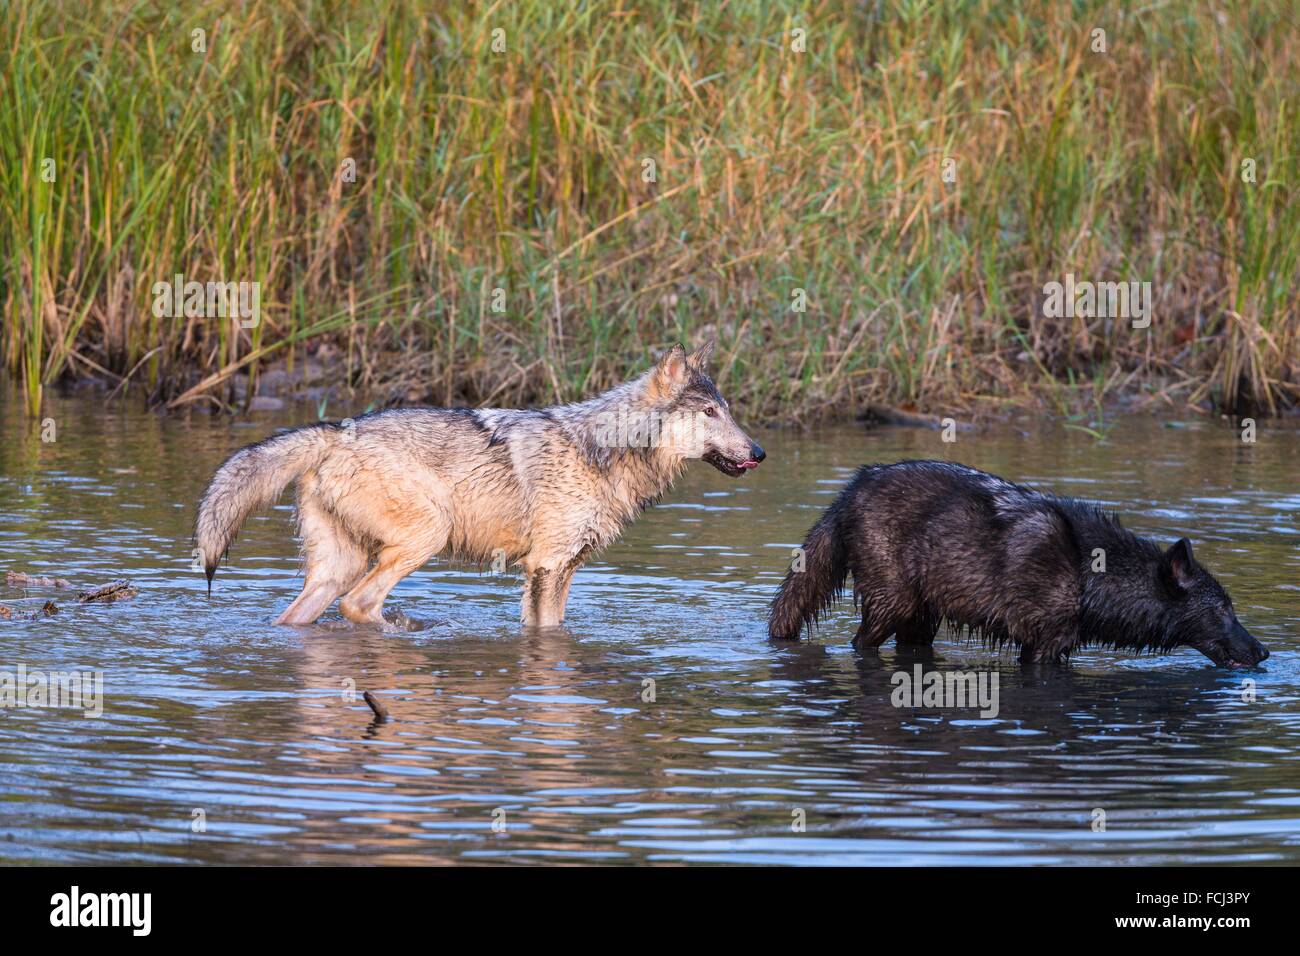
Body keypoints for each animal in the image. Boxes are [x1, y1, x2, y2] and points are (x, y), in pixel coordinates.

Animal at [196, 342, 764, 627]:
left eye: (729, 411)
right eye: (711, 413)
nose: (759, 452)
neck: (602, 451)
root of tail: (336, 430)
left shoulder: (565, 570)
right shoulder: (546, 566)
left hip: (334, 571)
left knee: (296, 618)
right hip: (429, 535)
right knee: (359, 606)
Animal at [768, 460, 1269, 668]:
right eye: (1222, 610)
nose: (1265, 652)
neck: (1090, 573)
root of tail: (851, 488)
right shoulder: (1042, 646)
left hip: (921, 619)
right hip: (892, 605)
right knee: (858, 643)